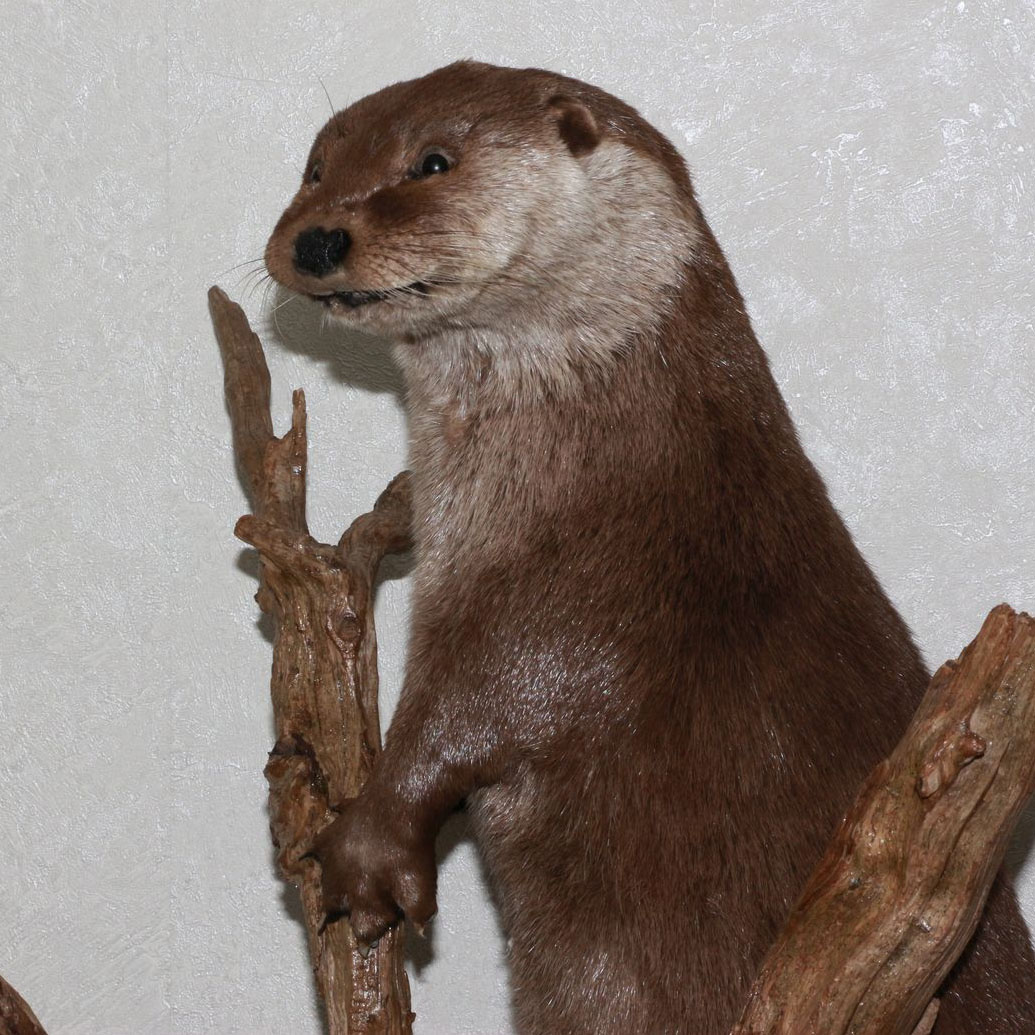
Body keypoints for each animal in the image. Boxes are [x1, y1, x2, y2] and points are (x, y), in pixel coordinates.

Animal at [264, 61, 1035, 1034]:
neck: (616, 459)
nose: (318, 239)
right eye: (314, 167)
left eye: (432, 161)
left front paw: (363, 854)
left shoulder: (559, 601)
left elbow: (454, 722)